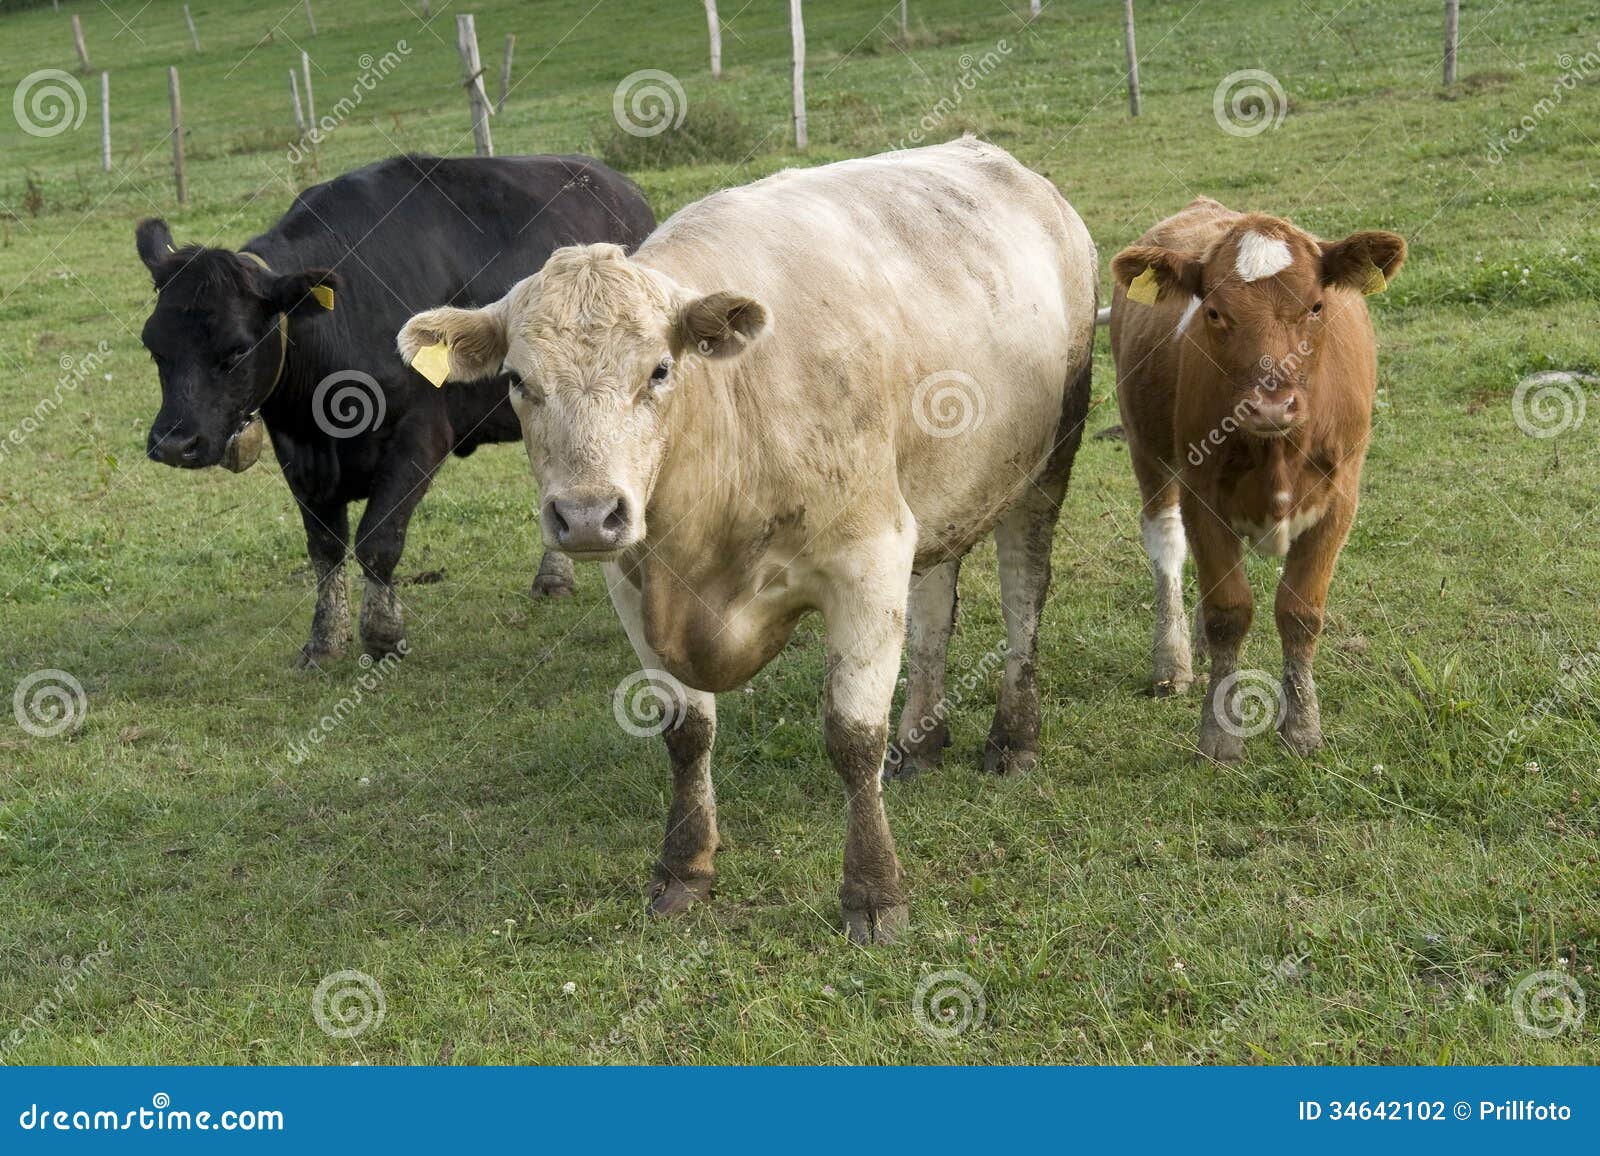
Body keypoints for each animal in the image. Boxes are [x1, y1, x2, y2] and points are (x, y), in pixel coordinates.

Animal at [135, 154, 655, 666]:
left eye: (238, 349)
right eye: (153, 346)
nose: (174, 443)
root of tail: (615, 183)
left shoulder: (419, 435)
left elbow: (378, 540)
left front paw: (383, 634)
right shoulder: (297, 452)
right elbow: (324, 548)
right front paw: (324, 639)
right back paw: (554, 575)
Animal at [397, 138, 1097, 943]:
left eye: (660, 369)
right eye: (516, 379)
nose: (587, 515)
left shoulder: (868, 557)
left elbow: (851, 736)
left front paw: (873, 891)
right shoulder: (633, 582)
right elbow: (686, 732)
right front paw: (684, 868)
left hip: (1048, 462)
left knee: (1024, 595)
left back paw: (1013, 737)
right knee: (932, 612)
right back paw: (920, 740)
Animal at [1109, 197, 1405, 762]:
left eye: (1316, 306)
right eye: (1214, 312)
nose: (1269, 405)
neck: (1278, 450)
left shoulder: (1341, 501)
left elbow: (1300, 611)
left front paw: (1303, 729)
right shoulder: (1202, 496)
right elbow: (1228, 610)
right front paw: (1219, 734)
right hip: (1146, 449)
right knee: (1167, 544)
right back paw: (1173, 661)